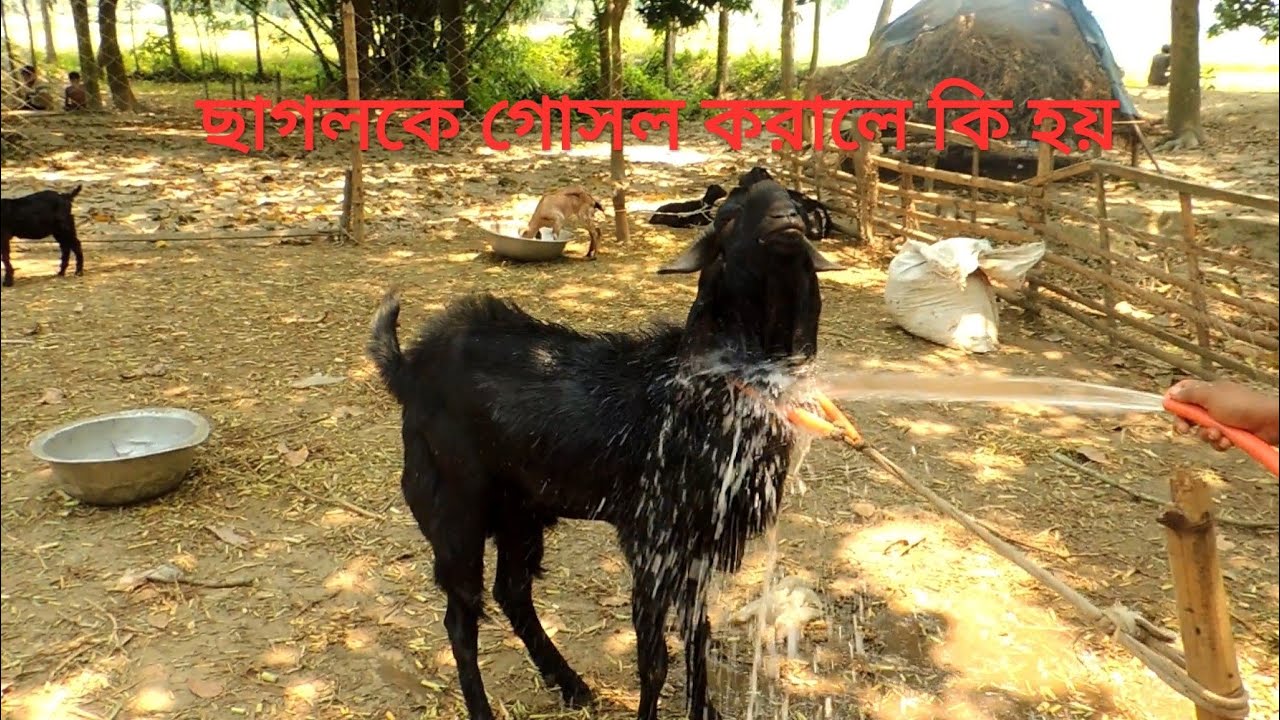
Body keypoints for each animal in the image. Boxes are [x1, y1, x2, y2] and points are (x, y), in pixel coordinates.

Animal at [367, 179, 843, 720]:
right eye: (726, 217)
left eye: (799, 204)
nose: (785, 219)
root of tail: (407, 368)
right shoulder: (652, 538)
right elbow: (655, 658)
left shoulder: (701, 543)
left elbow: (697, 638)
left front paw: (706, 709)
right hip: (453, 508)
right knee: (461, 617)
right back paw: (489, 708)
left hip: (520, 511)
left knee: (512, 591)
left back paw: (571, 683)